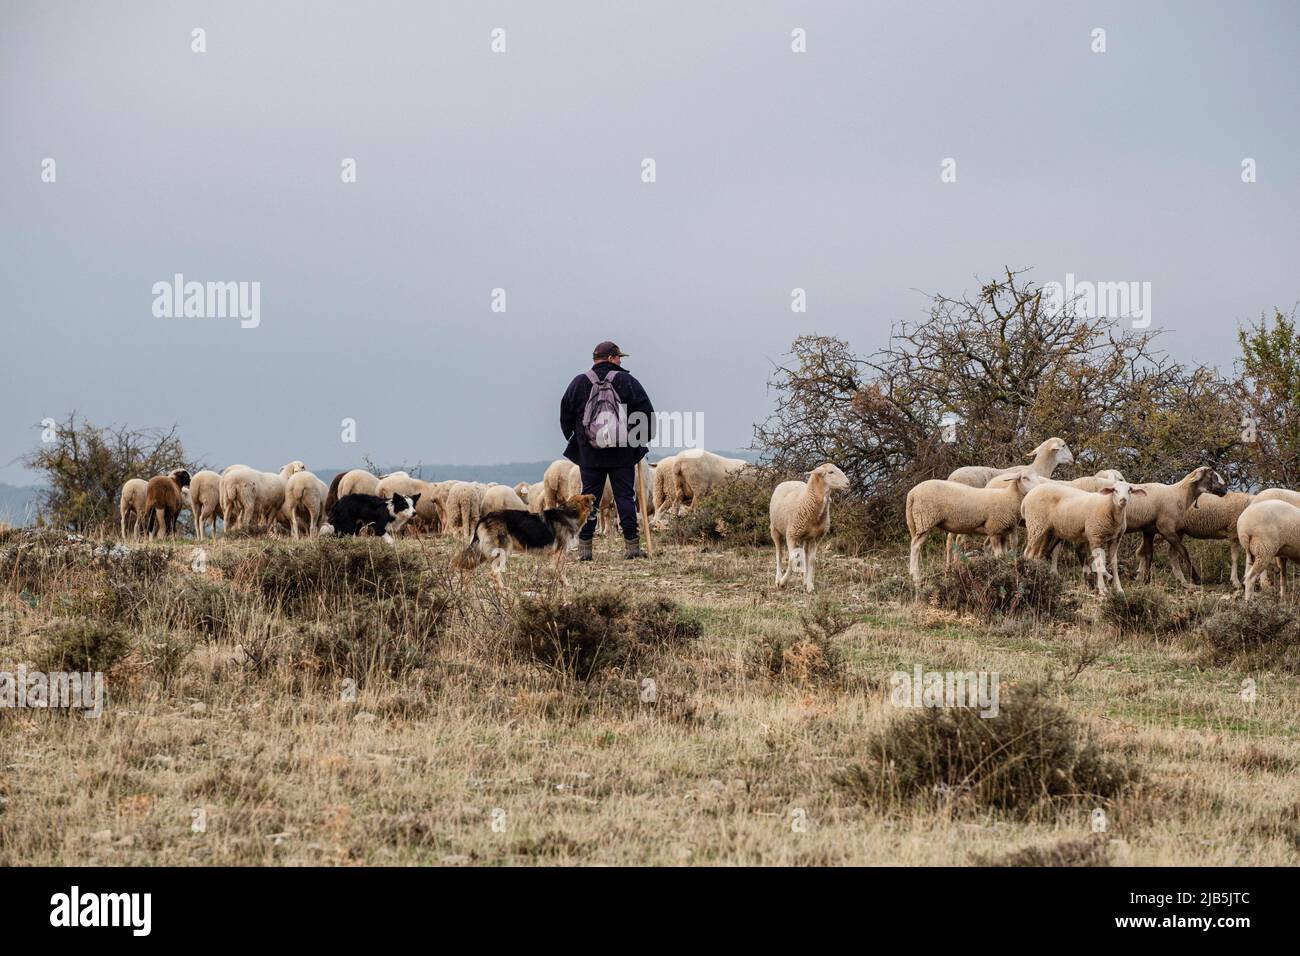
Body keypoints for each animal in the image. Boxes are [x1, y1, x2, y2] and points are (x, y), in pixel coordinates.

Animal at [770, 463, 850, 593]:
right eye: (831, 472)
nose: (848, 483)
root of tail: (789, 481)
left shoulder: (815, 538)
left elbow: (811, 560)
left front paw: (810, 585)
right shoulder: (791, 535)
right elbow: (792, 559)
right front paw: (783, 583)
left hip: (805, 538)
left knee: (805, 555)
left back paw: (804, 580)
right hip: (775, 529)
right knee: (779, 554)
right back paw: (778, 578)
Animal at [906, 472, 1047, 585]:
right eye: (1025, 478)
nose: (1038, 488)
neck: (1009, 497)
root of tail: (912, 493)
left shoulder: (1004, 531)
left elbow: (1005, 553)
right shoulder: (994, 529)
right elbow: (998, 554)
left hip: (919, 522)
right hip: (925, 519)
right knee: (915, 546)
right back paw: (915, 576)